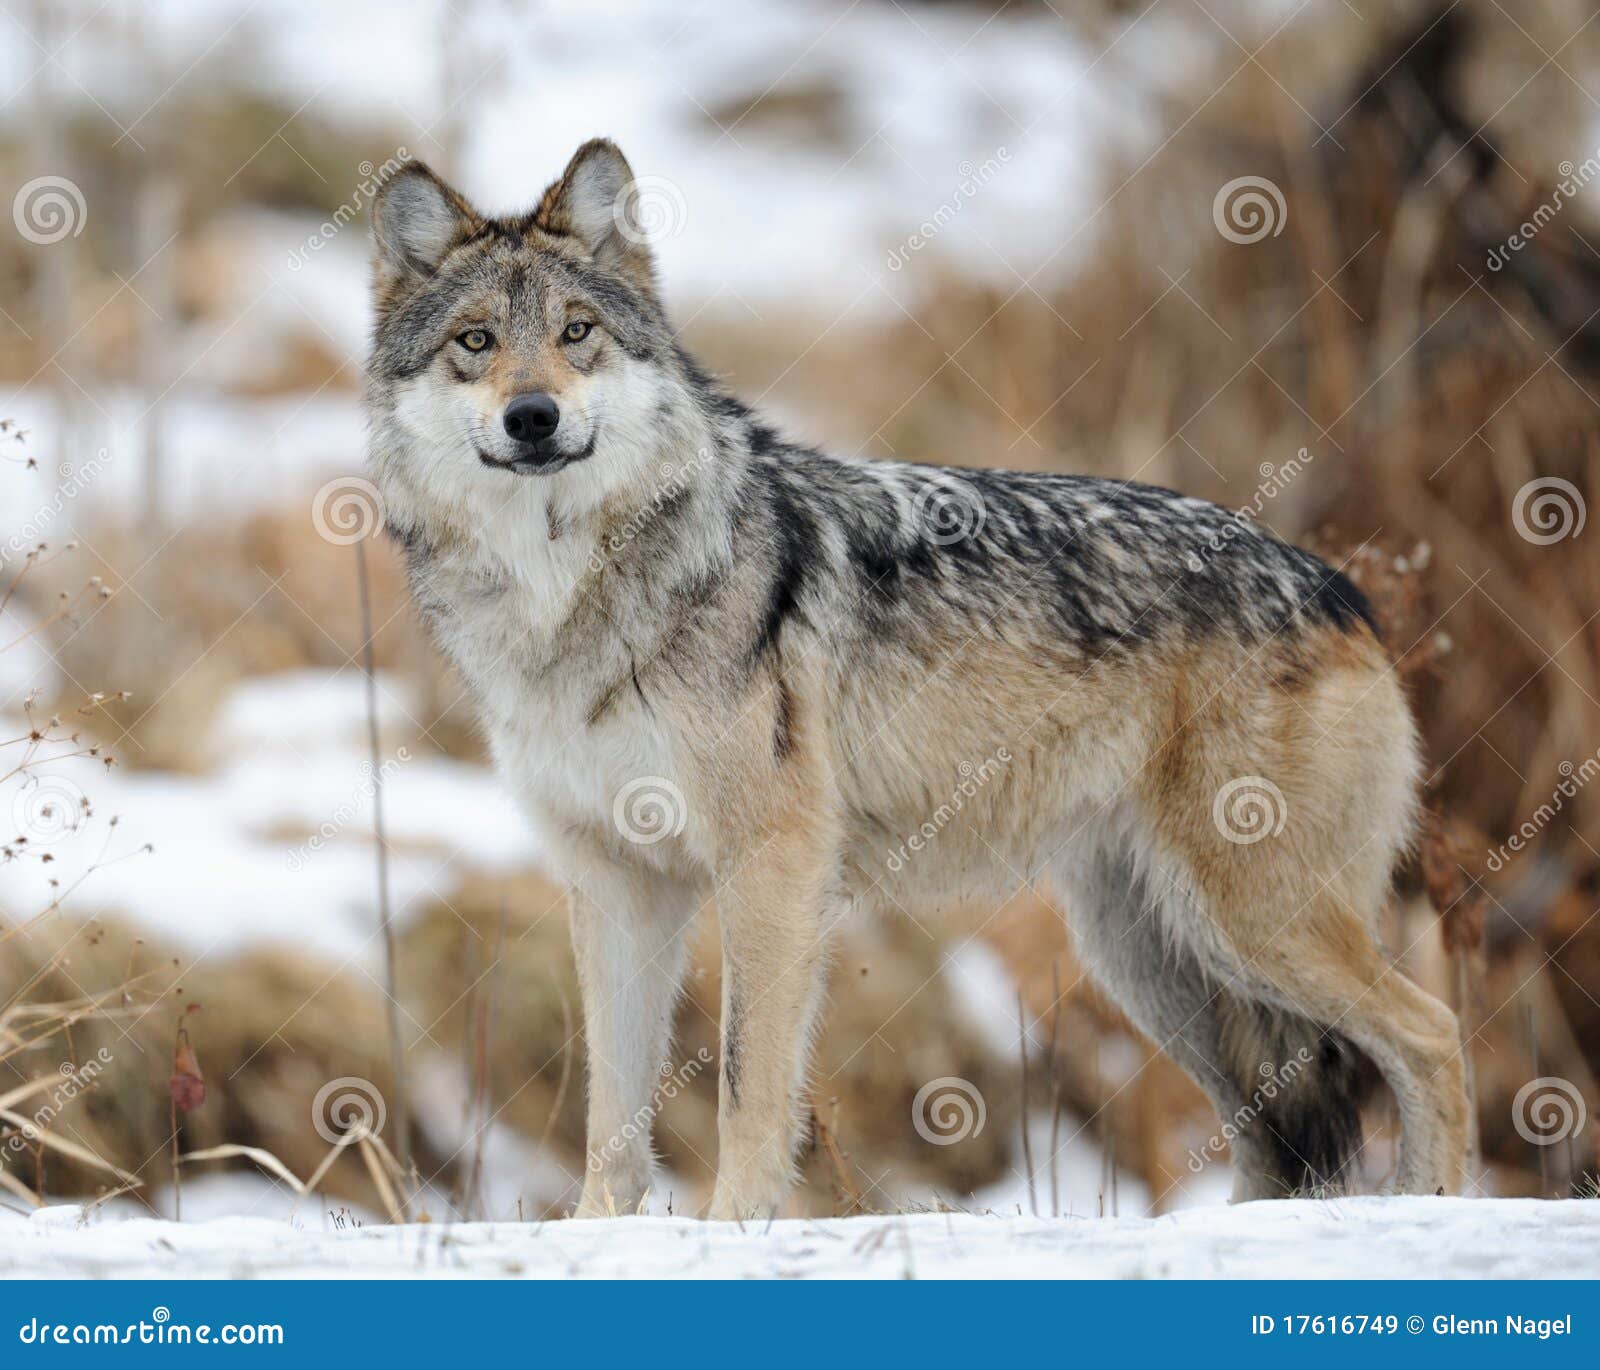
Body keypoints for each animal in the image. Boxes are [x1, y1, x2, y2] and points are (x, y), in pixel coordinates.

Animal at [365, 139, 1468, 1219]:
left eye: (577, 332)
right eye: (476, 341)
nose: (534, 415)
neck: (565, 598)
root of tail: (1338, 587)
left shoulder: (771, 863)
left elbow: (744, 1087)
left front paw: (733, 1231)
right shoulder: (613, 882)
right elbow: (612, 1113)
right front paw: (602, 1235)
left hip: (1252, 924)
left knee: (1433, 1035)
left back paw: (1434, 1203)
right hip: (1156, 957)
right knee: (1275, 1132)